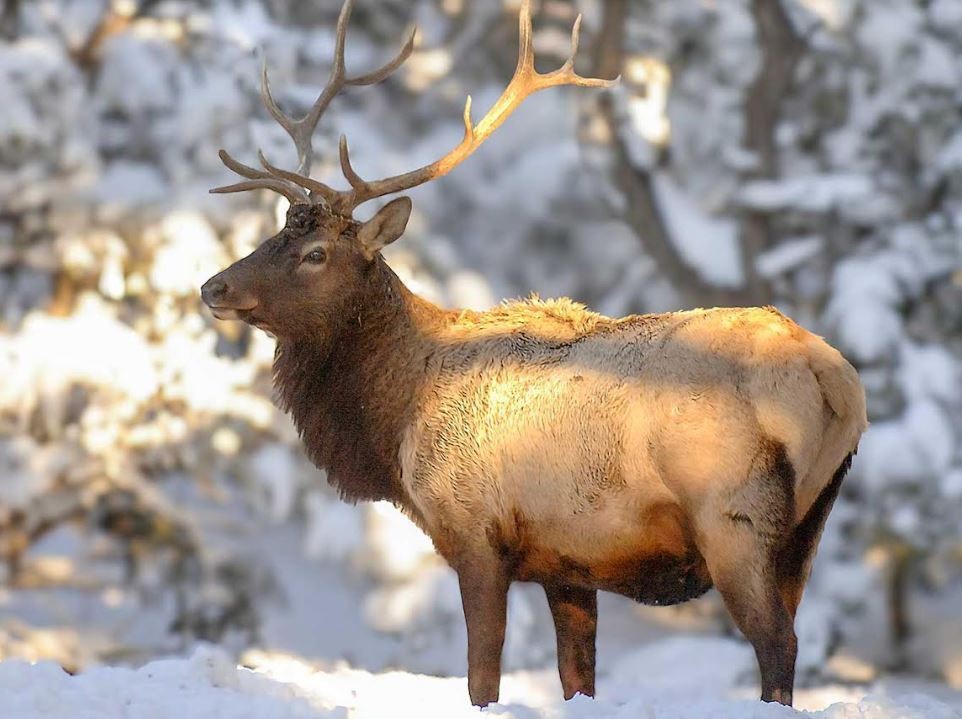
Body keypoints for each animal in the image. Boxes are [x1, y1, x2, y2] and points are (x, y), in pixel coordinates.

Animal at [200, 0, 867, 708]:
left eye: (315, 253)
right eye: (276, 233)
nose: (213, 287)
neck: (396, 415)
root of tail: (836, 379)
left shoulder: (475, 531)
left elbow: (482, 674)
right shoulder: (566, 562)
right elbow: (576, 678)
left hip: (733, 515)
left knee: (777, 644)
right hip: (807, 524)